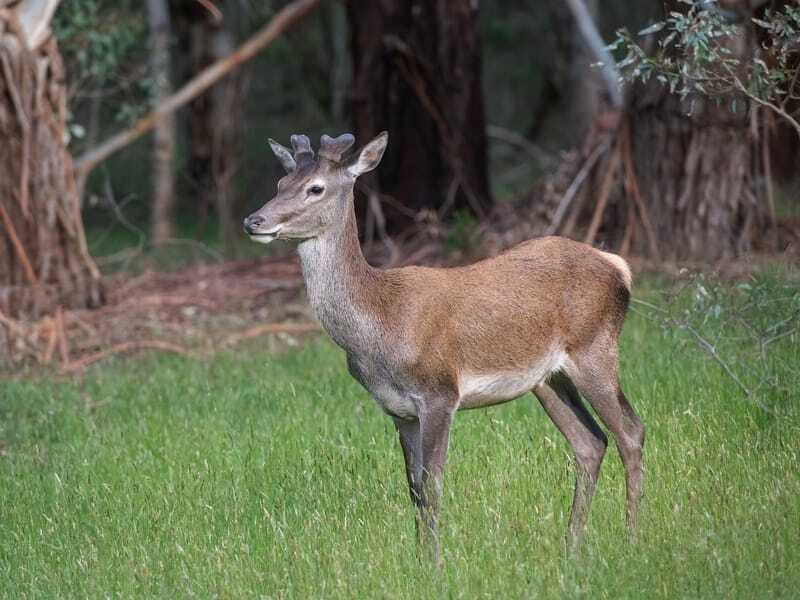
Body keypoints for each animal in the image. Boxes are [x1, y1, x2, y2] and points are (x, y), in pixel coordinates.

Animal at [242, 134, 644, 560]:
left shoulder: (439, 392)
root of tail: (619, 266)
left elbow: (433, 484)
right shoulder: (398, 410)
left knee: (630, 432)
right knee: (590, 443)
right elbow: (414, 487)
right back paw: (572, 546)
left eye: (315, 188)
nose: (254, 221)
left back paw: (631, 538)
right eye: (281, 184)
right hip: (548, 379)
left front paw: (435, 562)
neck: (379, 324)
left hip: (595, 349)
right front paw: (419, 558)